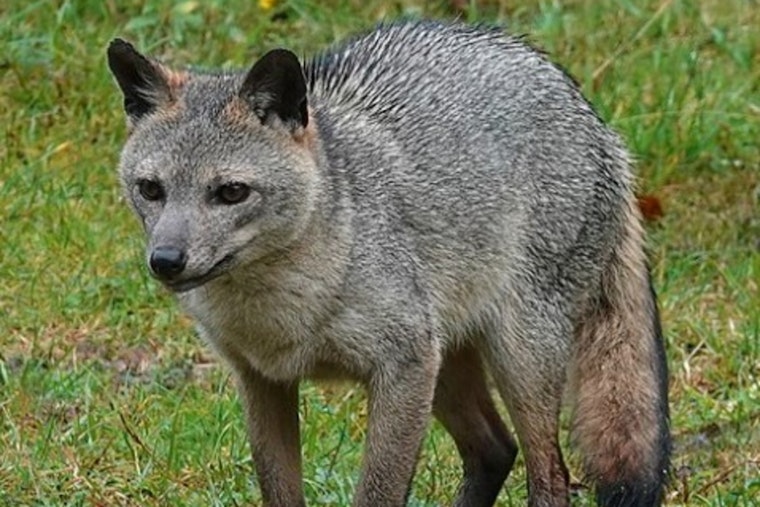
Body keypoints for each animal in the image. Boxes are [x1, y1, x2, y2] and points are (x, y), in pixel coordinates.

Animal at [107, 21, 670, 507]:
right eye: (150, 189)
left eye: (230, 192)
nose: (166, 260)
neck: (283, 314)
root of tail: (601, 126)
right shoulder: (264, 381)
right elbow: (280, 491)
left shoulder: (403, 369)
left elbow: (378, 493)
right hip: (448, 369)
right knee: (495, 450)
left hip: (516, 362)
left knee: (549, 476)